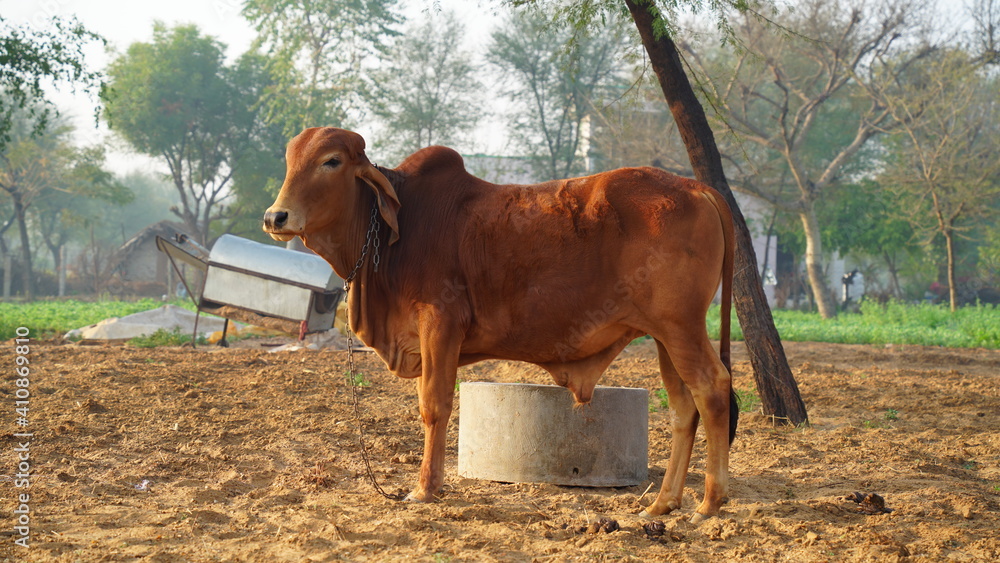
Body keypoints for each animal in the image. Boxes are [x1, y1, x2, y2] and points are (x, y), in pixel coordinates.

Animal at [263, 127, 736, 521]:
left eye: (331, 161)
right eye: (289, 159)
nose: (275, 217)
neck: (400, 227)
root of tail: (698, 187)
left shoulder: (440, 324)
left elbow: (434, 406)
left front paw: (425, 490)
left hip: (681, 328)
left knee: (712, 389)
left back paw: (709, 504)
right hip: (664, 336)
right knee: (683, 407)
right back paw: (663, 503)